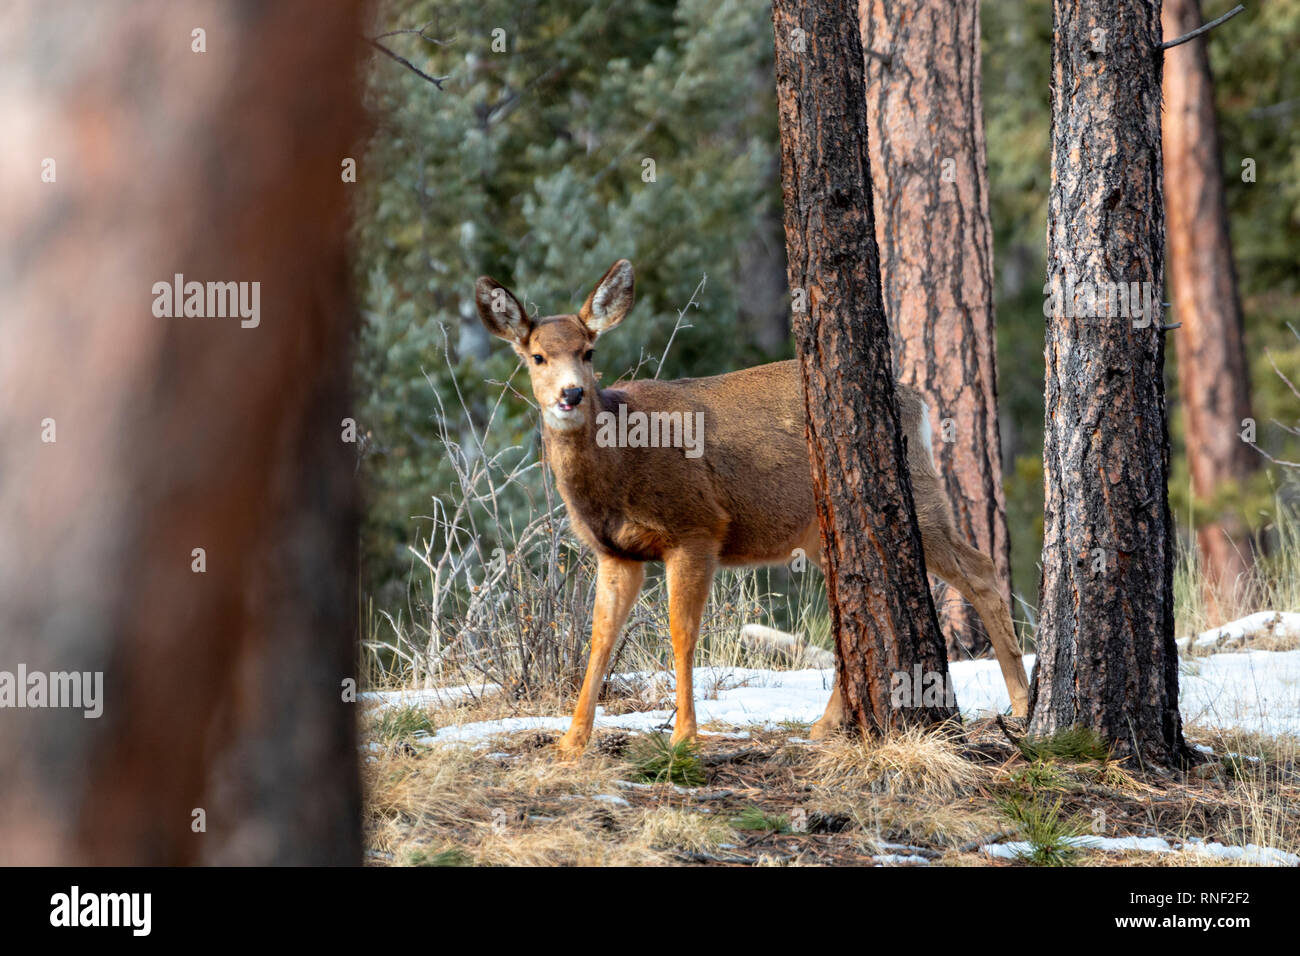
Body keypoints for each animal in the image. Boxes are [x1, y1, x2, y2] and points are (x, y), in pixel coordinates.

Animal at [474, 259, 1031, 758]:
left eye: (588, 351)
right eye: (537, 356)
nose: (571, 393)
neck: (619, 464)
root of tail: (919, 403)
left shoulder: (697, 526)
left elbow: (682, 634)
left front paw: (684, 736)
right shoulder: (618, 553)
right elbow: (600, 639)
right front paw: (571, 742)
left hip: (918, 493)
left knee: (980, 570)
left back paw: (1023, 706)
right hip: (827, 530)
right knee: (851, 607)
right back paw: (826, 725)